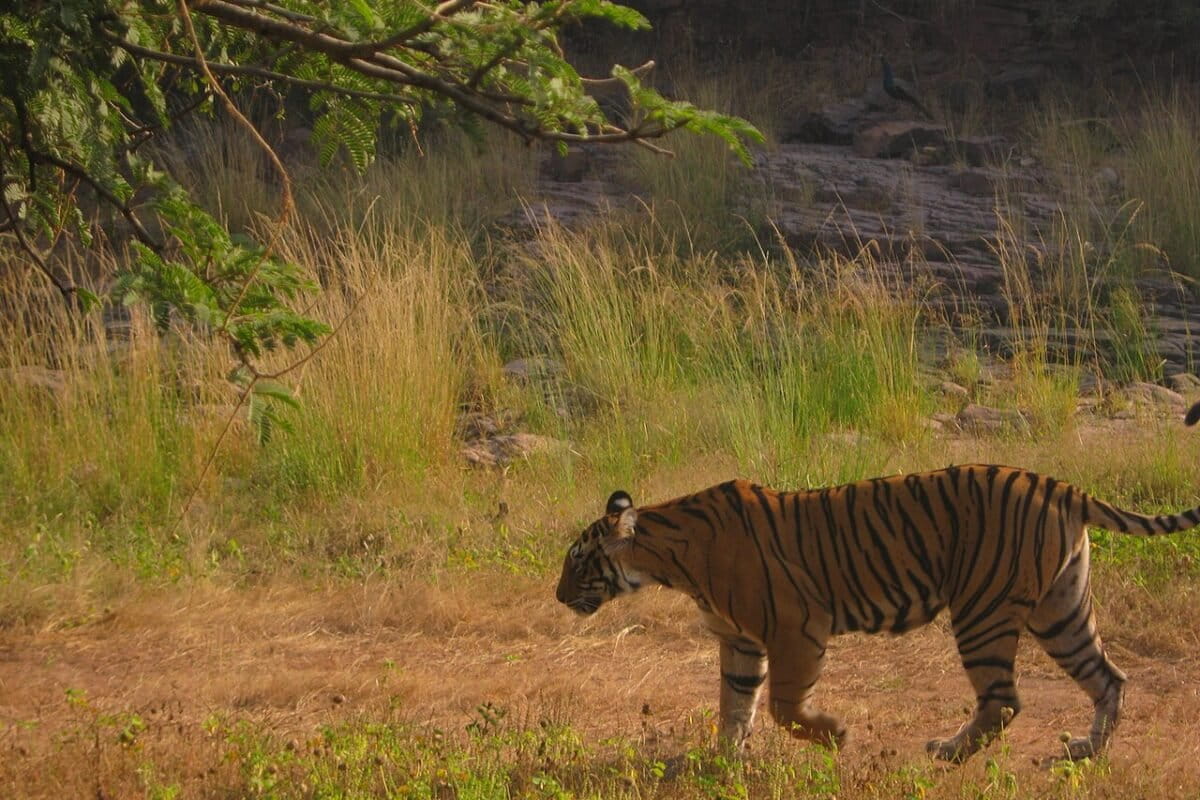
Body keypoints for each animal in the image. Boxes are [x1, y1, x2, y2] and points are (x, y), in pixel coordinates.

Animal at [555, 405, 1200, 763]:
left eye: (578, 561)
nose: (558, 597)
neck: (670, 556)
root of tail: (1059, 484)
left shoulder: (795, 629)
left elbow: (783, 706)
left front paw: (833, 736)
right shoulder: (738, 640)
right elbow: (734, 707)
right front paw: (719, 764)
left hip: (982, 611)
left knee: (1004, 701)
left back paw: (948, 753)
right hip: (1060, 609)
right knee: (1108, 678)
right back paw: (1084, 753)